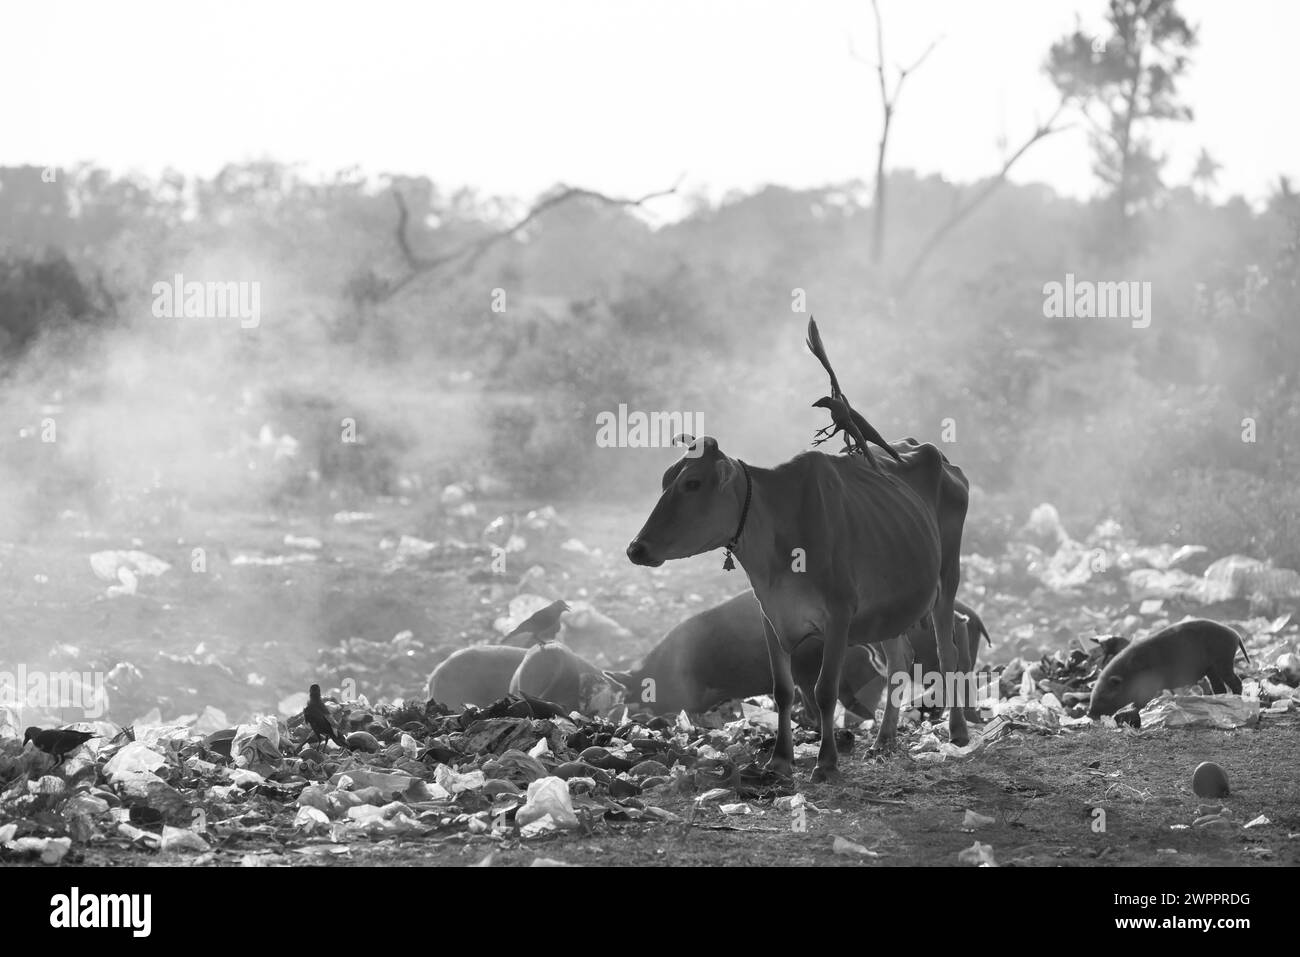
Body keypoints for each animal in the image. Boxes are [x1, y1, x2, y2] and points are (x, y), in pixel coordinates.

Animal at [624, 436, 972, 780]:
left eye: (692, 483)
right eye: (666, 479)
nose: (635, 549)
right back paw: (883, 740)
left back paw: (957, 730)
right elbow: (782, 691)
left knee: (947, 653)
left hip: (947, 580)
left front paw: (826, 761)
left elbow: (825, 690)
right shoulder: (771, 615)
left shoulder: (839, 614)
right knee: (899, 663)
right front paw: (780, 759)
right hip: (890, 611)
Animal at [1086, 621, 1248, 717]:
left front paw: (1133, 709)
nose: (1089, 714)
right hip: (1211, 669)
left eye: (1104, 695)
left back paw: (1236, 699)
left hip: (1223, 662)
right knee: (1219, 687)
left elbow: (1141, 701)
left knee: (1236, 682)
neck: (1130, 673)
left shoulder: (1149, 687)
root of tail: (1235, 634)